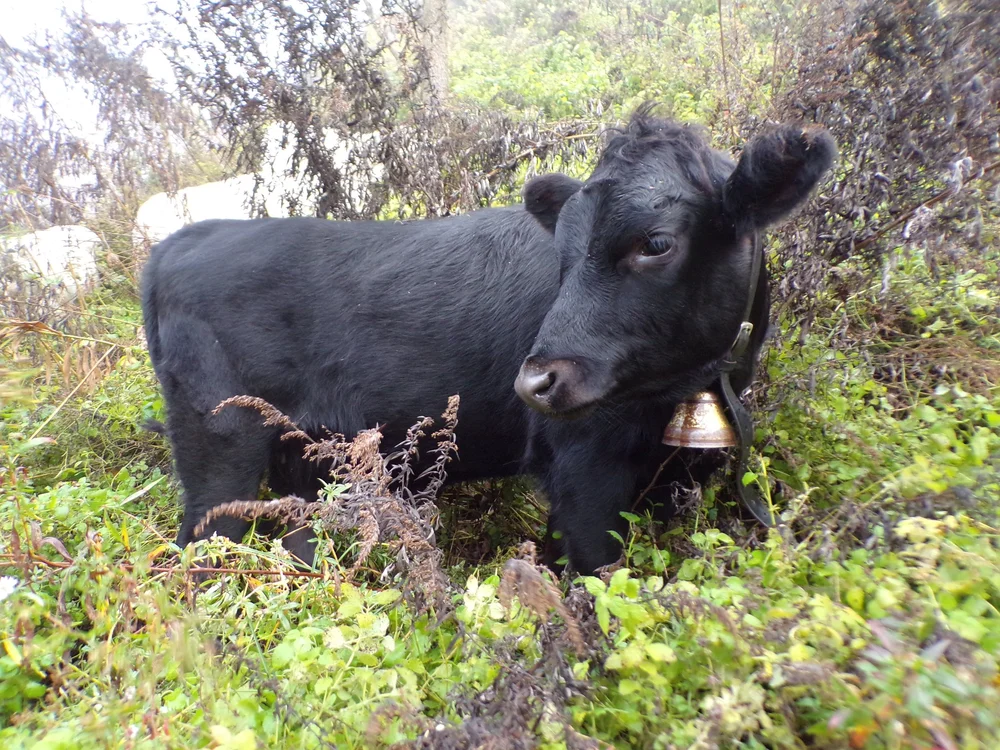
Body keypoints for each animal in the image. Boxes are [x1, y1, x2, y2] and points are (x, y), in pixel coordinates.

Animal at [141, 108, 835, 575]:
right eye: (563, 251)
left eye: (657, 242)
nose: (535, 381)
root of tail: (183, 239)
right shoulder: (584, 468)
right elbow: (599, 582)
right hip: (220, 447)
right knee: (200, 554)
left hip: (303, 460)